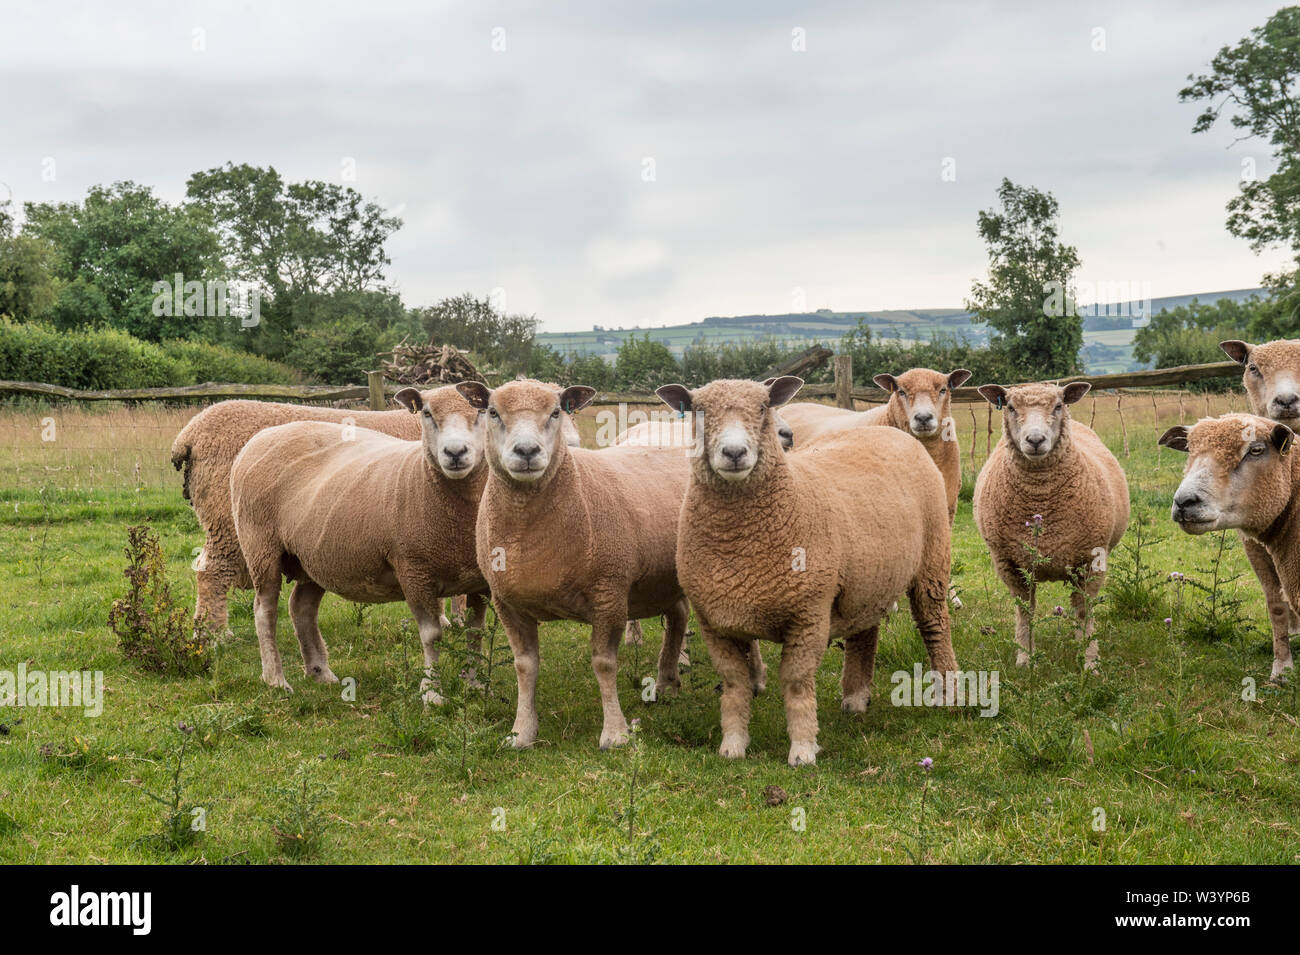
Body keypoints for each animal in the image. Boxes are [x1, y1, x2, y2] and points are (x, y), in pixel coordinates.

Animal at [171, 390, 578, 636]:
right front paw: (455, 619)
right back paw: (214, 634)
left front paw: (448, 617)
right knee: (210, 571)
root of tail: (188, 435)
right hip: (229, 519)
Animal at [228, 385, 490, 699]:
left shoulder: (481, 582)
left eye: (482, 411)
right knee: (265, 611)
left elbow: (476, 632)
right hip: (260, 545)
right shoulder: (414, 570)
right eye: (427, 413)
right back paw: (275, 679)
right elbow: (432, 635)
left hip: (314, 555)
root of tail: (260, 437)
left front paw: (475, 685)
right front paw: (432, 693)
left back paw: (320, 672)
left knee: (301, 606)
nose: (455, 452)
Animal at [456, 378, 690, 751]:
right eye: (492, 411)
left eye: (555, 412)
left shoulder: (609, 593)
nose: (526, 451)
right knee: (678, 615)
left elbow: (604, 664)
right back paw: (667, 682)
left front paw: (615, 734)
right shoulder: (507, 602)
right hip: (661, 578)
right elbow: (525, 667)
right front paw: (521, 732)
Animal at [657, 376, 958, 767]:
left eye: (763, 407)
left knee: (934, 624)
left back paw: (949, 694)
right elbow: (735, 683)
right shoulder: (715, 622)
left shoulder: (809, 612)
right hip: (869, 576)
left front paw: (802, 749)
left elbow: (797, 682)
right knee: (865, 631)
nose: (735, 453)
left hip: (932, 559)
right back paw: (855, 698)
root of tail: (892, 433)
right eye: (698, 411)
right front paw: (733, 745)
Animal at [972, 382, 1129, 670]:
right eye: (1010, 407)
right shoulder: (1010, 565)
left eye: (1058, 406)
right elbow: (1025, 611)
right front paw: (1025, 658)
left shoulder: (1092, 560)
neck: (1040, 496)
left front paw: (1089, 660)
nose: (1035, 440)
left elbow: (1083, 610)